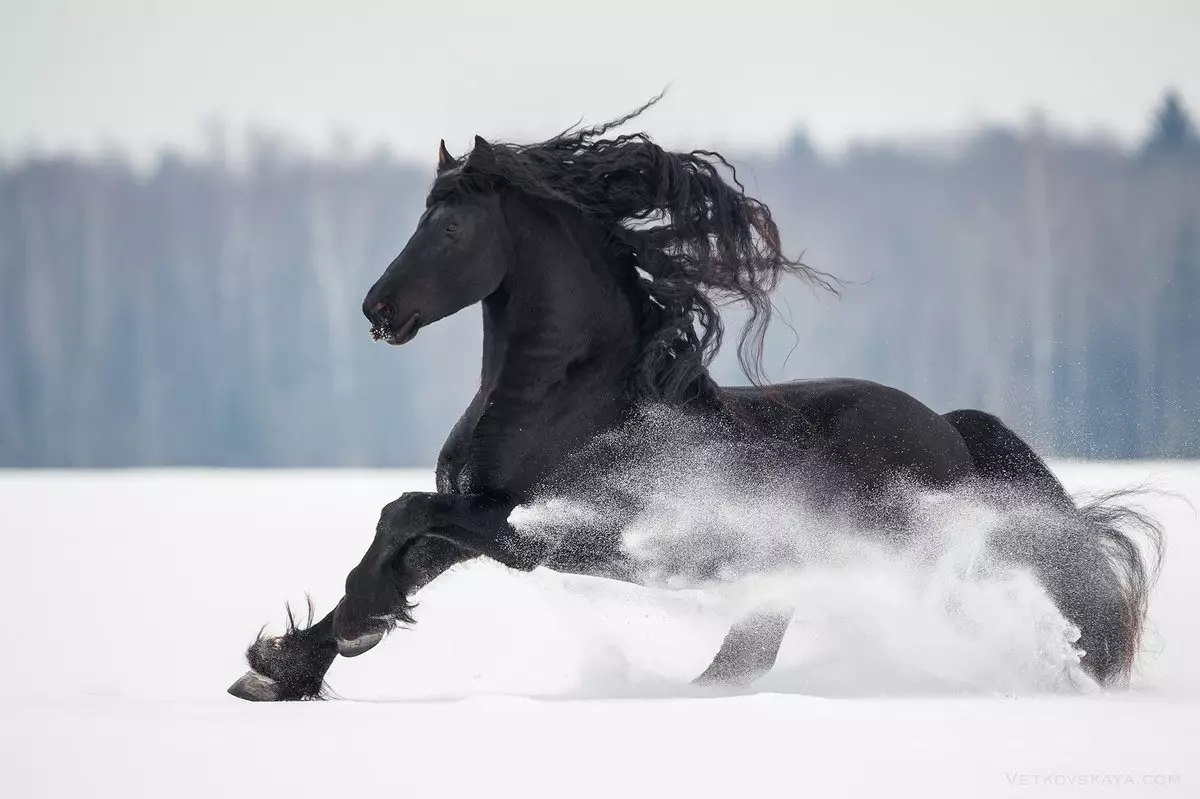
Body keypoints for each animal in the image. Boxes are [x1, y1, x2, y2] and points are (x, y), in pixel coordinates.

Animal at [226, 102, 1161, 700]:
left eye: (449, 226)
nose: (378, 309)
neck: (562, 396)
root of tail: (950, 430)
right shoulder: (483, 504)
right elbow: (403, 545)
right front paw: (288, 664)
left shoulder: (557, 529)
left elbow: (406, 516)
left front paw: (340, 633)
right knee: (758, 640)